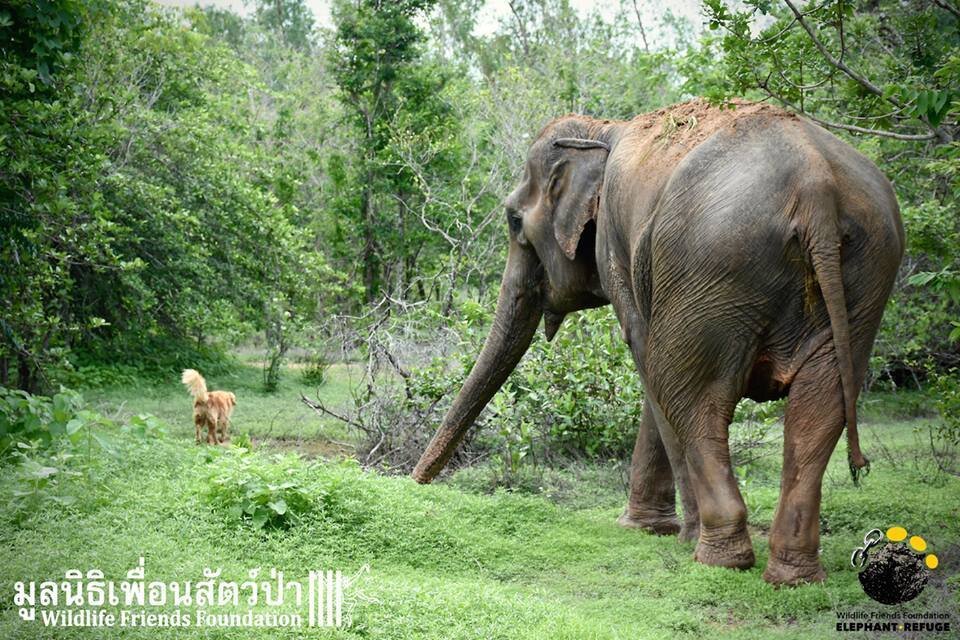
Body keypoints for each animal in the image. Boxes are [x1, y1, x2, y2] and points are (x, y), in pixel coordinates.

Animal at [410, 99, 904, 586]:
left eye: (514, 221)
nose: (413, 483)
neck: (603, 127)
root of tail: (816, 187)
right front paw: (646, 527)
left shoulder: (615, 243)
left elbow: (646, 359)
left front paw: (665, 532)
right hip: (866, 273)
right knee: (819, 407)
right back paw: (793, 576)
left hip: (713, 270)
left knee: (691, 393)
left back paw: (716, 555)